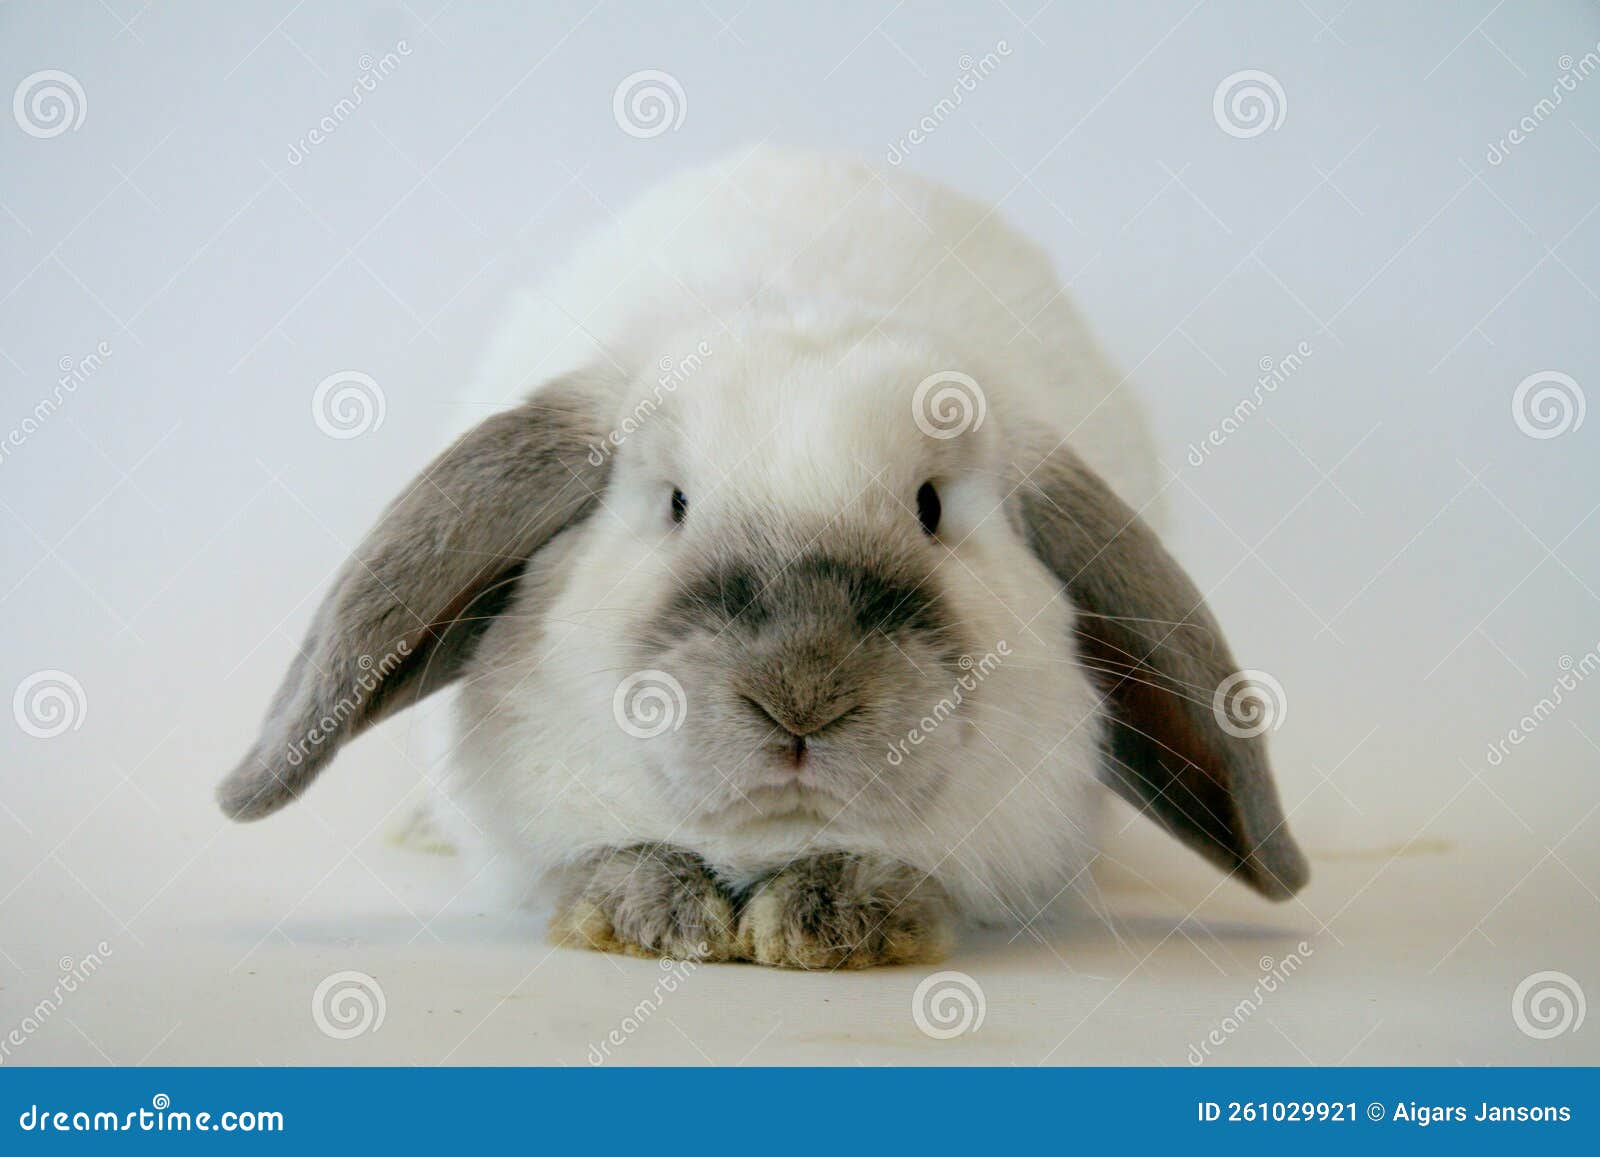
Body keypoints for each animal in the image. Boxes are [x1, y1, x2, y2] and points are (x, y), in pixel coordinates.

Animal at [218, 145, 1308, 969]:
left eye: (930, 507)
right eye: (673, 503)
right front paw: (655, 914)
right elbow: (605, 858)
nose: (802, 694)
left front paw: (832, 919)